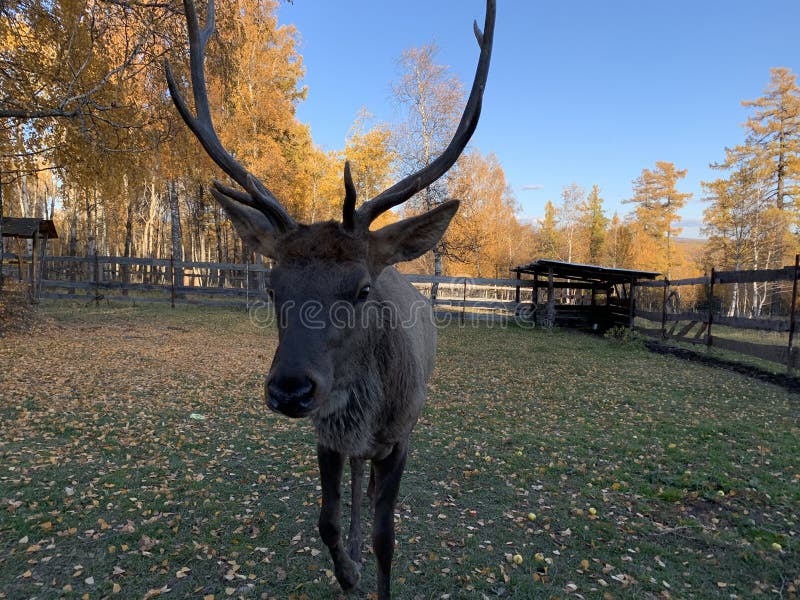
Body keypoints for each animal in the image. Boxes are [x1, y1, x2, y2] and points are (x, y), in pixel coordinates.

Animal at [165, 1, 494, 597]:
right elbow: (326, 521)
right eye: (272, 286)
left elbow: (389, 539)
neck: (361, 418)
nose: (290, 389)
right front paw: (347, 572)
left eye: (361, 289)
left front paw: (373, 570)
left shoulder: (401, 437)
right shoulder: (326, 436)